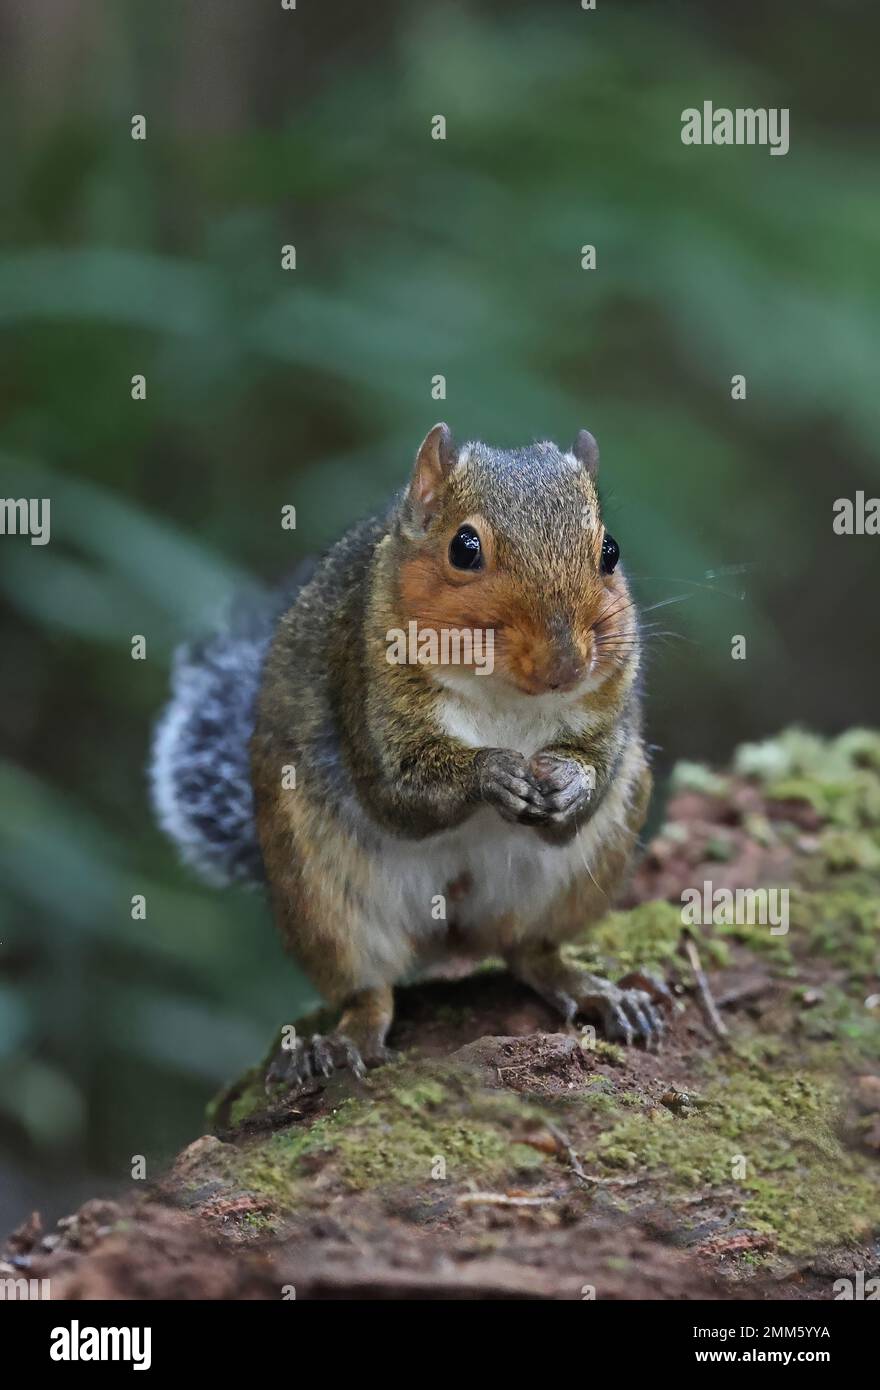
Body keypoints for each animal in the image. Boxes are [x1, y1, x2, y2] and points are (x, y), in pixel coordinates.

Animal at [151, 424, 671, 1087]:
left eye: (610, 550)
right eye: (465, 548)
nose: (564, 664)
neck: (505, 694)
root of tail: (452, 934)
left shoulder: (611, 704)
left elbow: (594, 770)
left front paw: (571, 781)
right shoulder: (367, 682)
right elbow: (400, 791)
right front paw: (492, 772)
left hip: (579, 874)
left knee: (529, 951)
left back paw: (595, 990)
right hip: (319, 893)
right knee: (369, 988)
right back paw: (341, 1040)